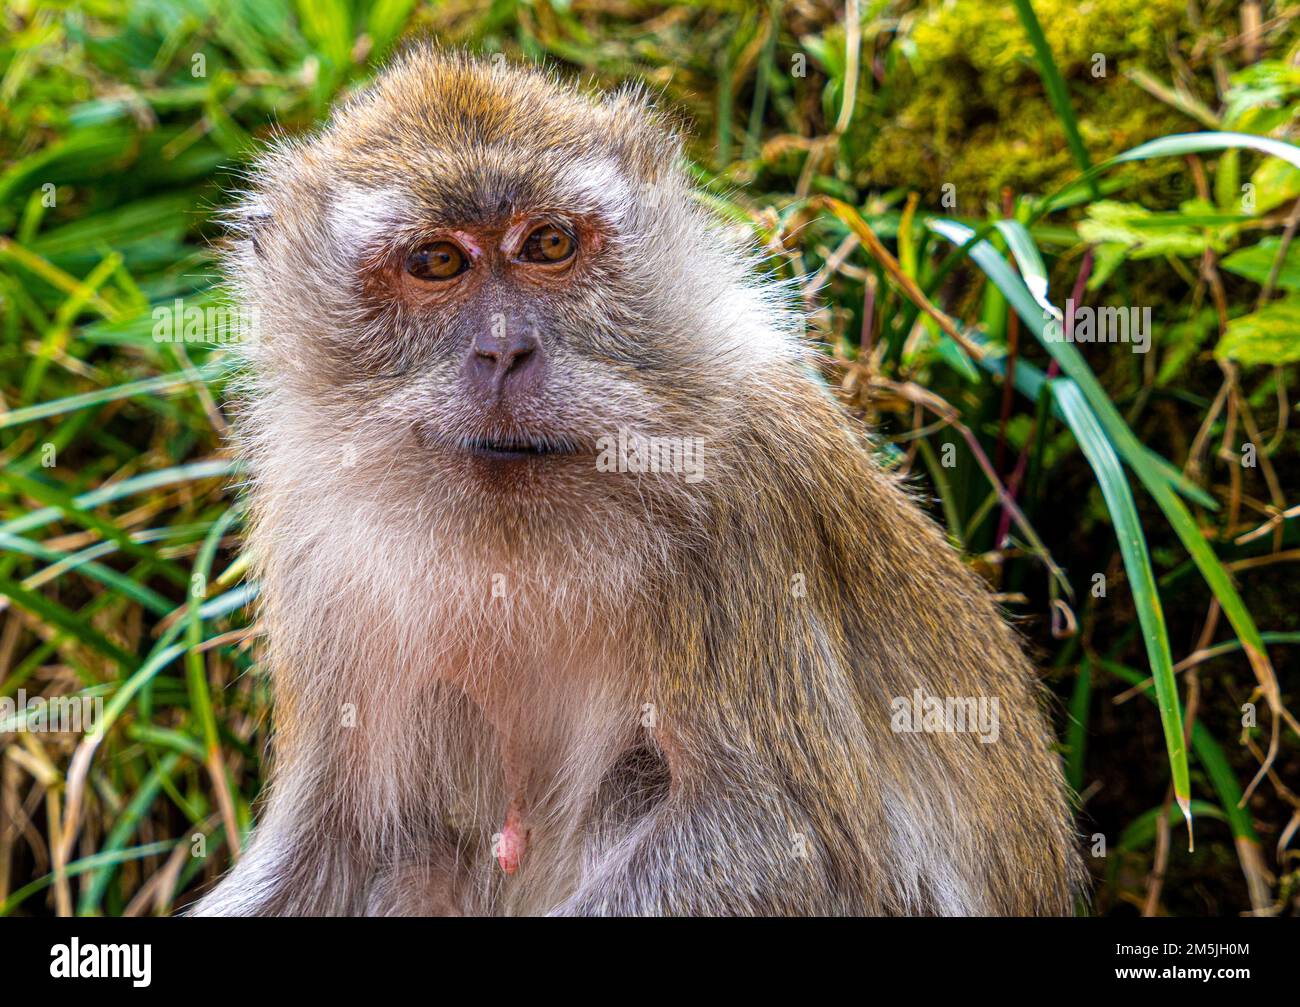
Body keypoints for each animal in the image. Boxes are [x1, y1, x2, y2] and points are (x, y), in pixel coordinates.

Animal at [192, 46, 1085, 917]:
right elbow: (325, 847)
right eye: (436, 261)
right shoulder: (315, 545)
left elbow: (789, 838)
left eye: (548, 245)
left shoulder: (744, 499)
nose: (505, 349)